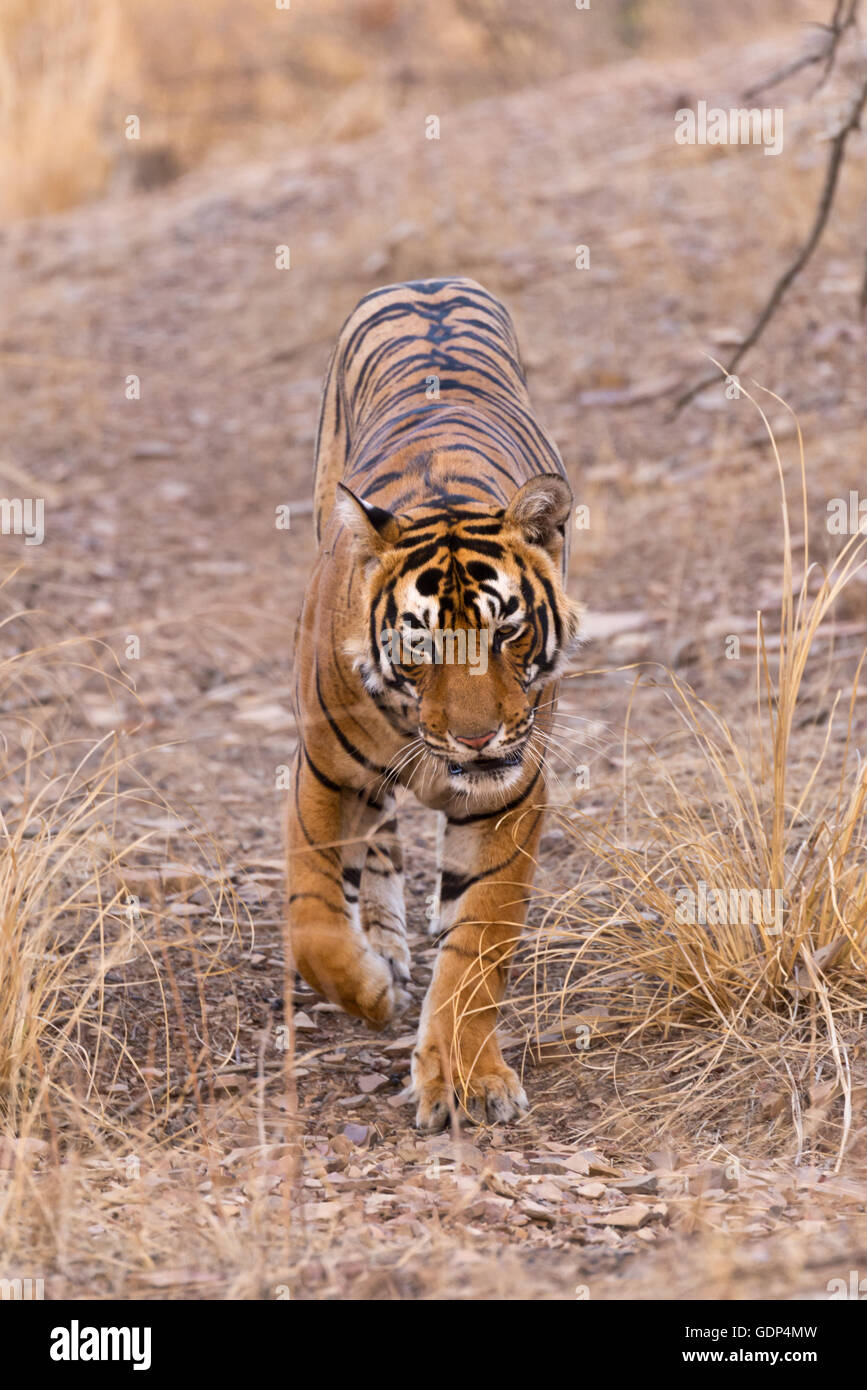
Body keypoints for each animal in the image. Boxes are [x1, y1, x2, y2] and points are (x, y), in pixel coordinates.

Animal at [288, 276, 582, 1131]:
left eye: (507, 629)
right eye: (419, 646)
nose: (479, 741)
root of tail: (425, 282)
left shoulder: (510, 794)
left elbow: (476, 947)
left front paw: (467, 1078)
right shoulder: (320, 772)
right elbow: (312, 921)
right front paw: (371, 993)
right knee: (377, 841)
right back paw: (383, 948)